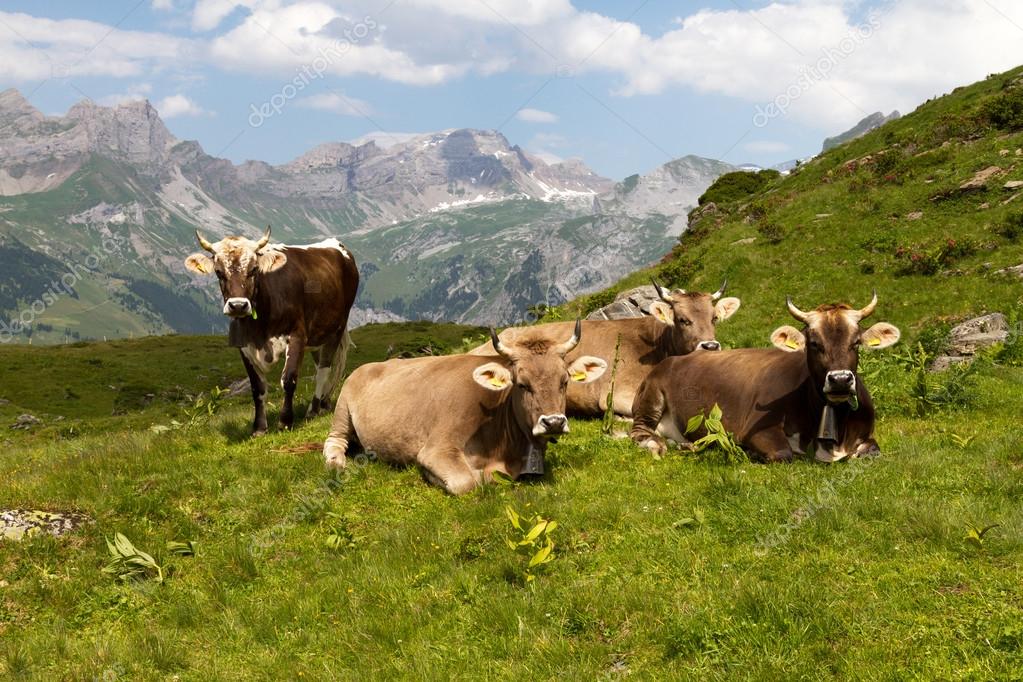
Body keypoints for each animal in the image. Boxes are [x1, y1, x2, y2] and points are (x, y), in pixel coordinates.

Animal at [184, 227, 359, 435]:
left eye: (253, 269)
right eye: (219, 272)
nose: (238, 305)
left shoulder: (297, 335)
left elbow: (289, 380)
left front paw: (285, 422)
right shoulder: (244, 346)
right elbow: (257, 387)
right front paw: (259, 428)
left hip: (337, 328)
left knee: (324, 369)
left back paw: (314, 409)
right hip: (319, 335)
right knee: (320, 368)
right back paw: (324, 404)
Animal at [322, 321, 607, 494]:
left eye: (564, 381)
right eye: (522, 384)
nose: (554, 422)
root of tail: (374, 364)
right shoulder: (437, 448)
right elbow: (467, 481)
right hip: (342, 409)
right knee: (335, 440)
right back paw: (336, 461)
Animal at [630, 293, 901, 463]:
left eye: (856, 342)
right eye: (814, 343)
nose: (841, 379)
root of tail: (674, 358)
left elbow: (873, 450)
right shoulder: (756, 429)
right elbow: (783, 453)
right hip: (651, 398)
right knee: (639, 431)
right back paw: (657, 444)